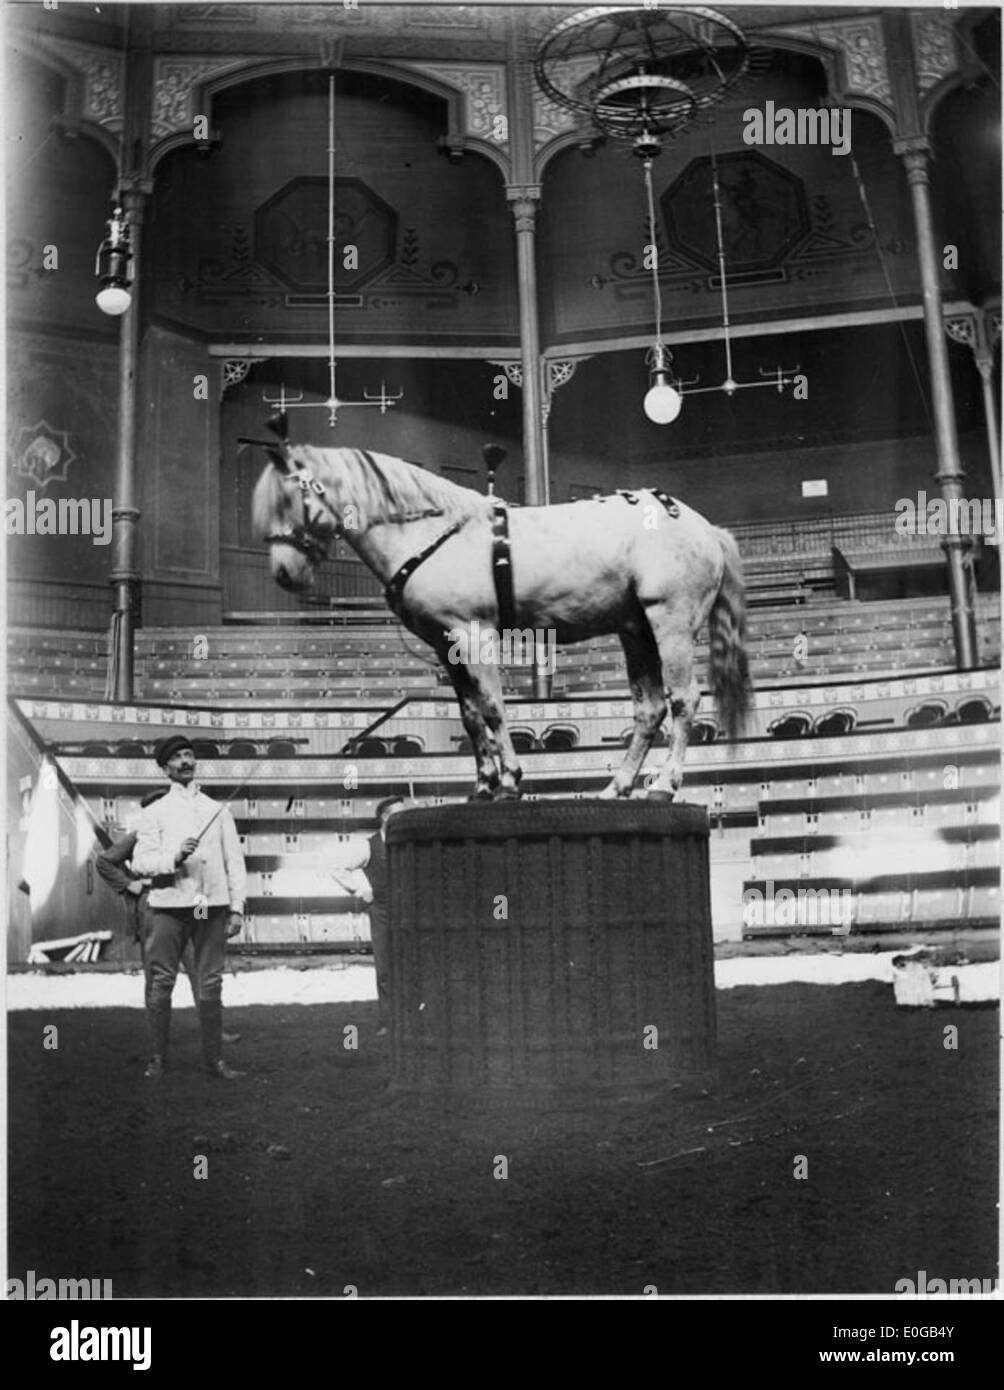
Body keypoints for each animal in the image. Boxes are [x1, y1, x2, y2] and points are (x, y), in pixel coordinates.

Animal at [250, 434, 751, 801]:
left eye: (290, 499)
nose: (284, 574)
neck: (432, 531)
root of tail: (705, 527)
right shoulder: (446, 645)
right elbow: (471, 714)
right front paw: (483, 785)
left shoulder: (474, 635)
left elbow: (492, 706)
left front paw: (510, 779)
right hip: (637, 633)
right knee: (649, 710)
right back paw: (618, 785)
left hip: (671, 624)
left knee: (683, 699)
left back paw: (664, 784)